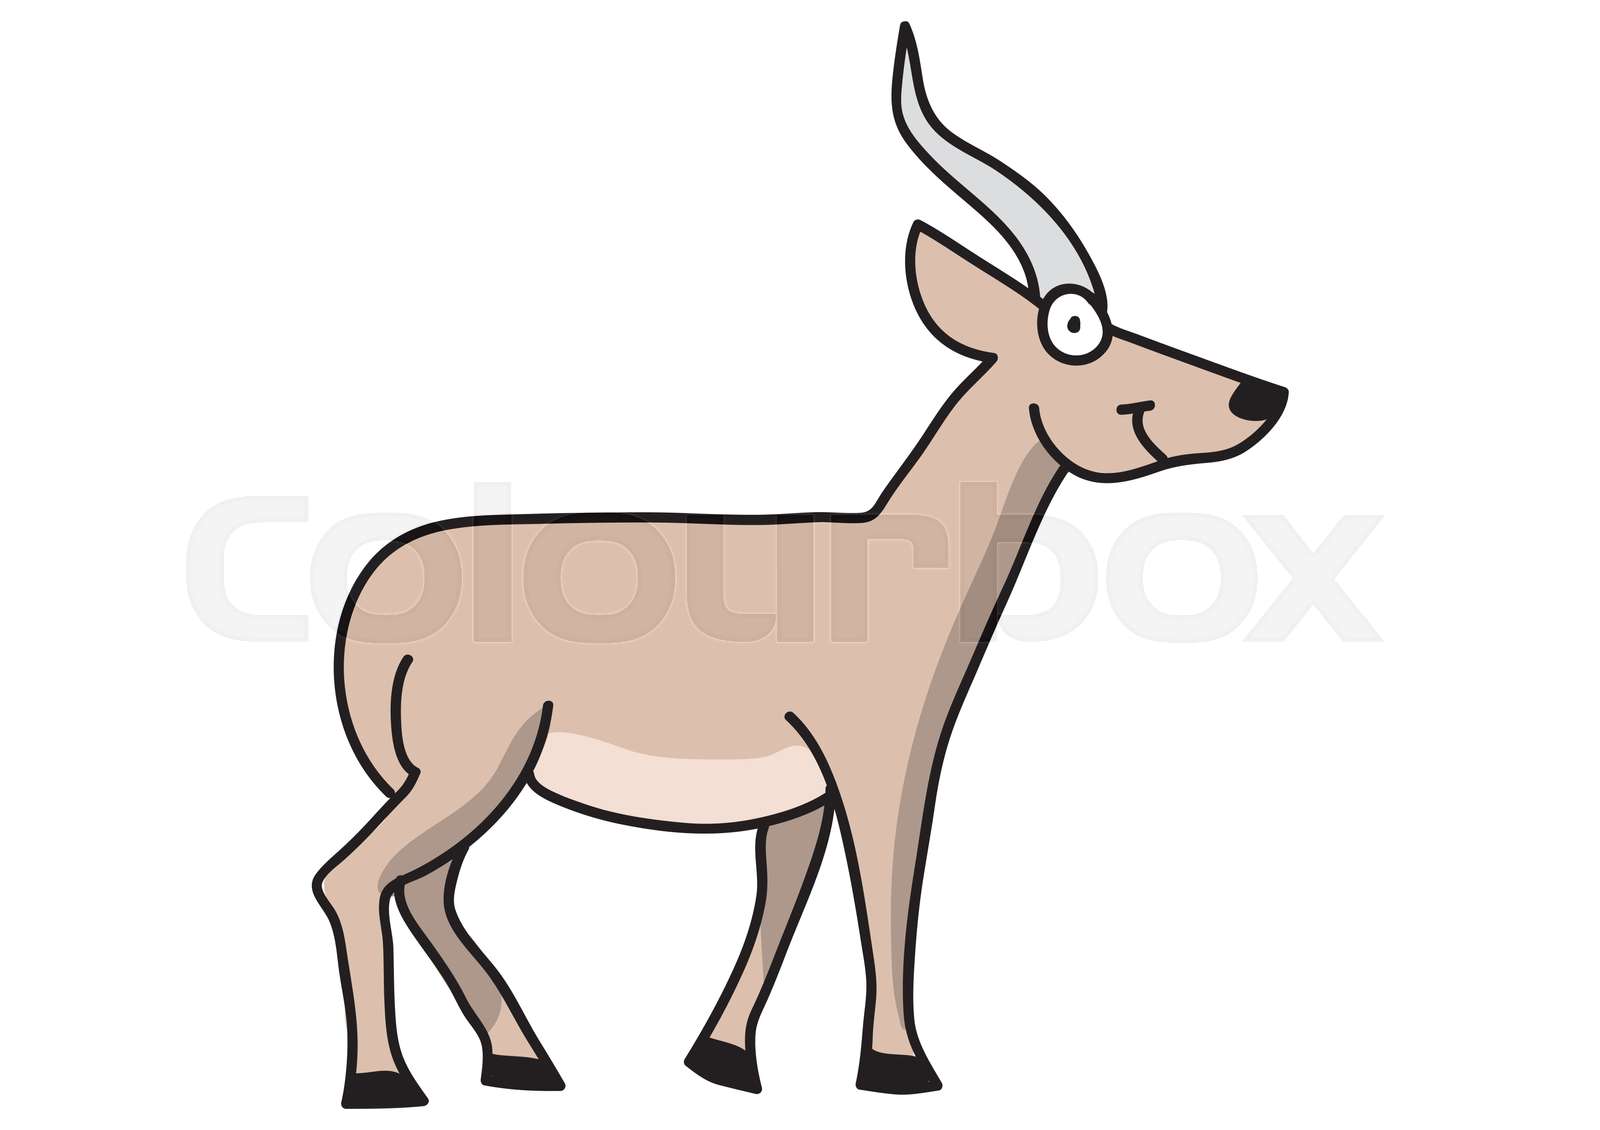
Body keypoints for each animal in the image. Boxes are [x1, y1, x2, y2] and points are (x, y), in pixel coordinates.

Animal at [313, 23, 1288, 1107]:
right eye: (1075, 327)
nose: (1259, 393)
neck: (893, 556)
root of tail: (376, 597)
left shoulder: (797, 794)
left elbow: (781, 900)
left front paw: (723, 1059)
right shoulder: (881, 759)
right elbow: (887, 891)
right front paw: (900, 1065)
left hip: (467, 771)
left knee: (425, 884)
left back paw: (524, 1060)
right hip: (477, 760)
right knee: (356, 876)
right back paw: (386, 1080)